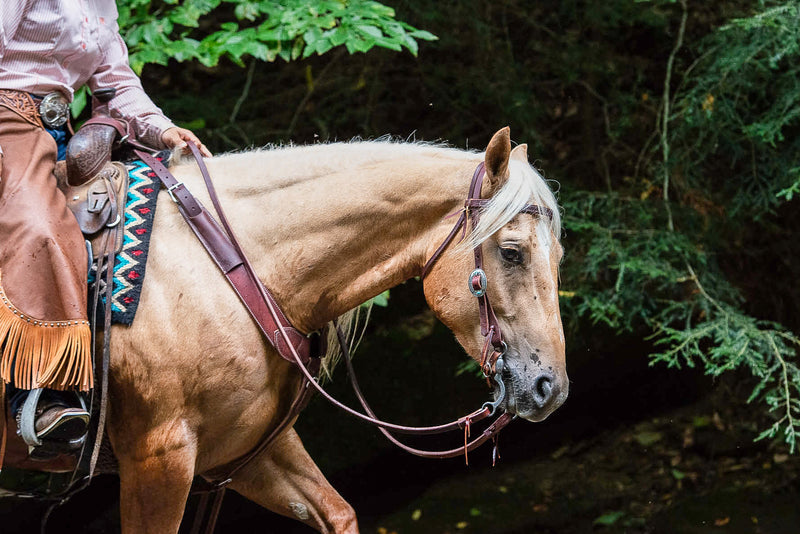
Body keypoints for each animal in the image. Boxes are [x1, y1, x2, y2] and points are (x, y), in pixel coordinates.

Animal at [4, 127, 567, 533]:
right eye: (511, 252)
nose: (551, 389)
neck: (229, 267)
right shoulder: (158, 459)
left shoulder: (245, 452)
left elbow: (338, 514)